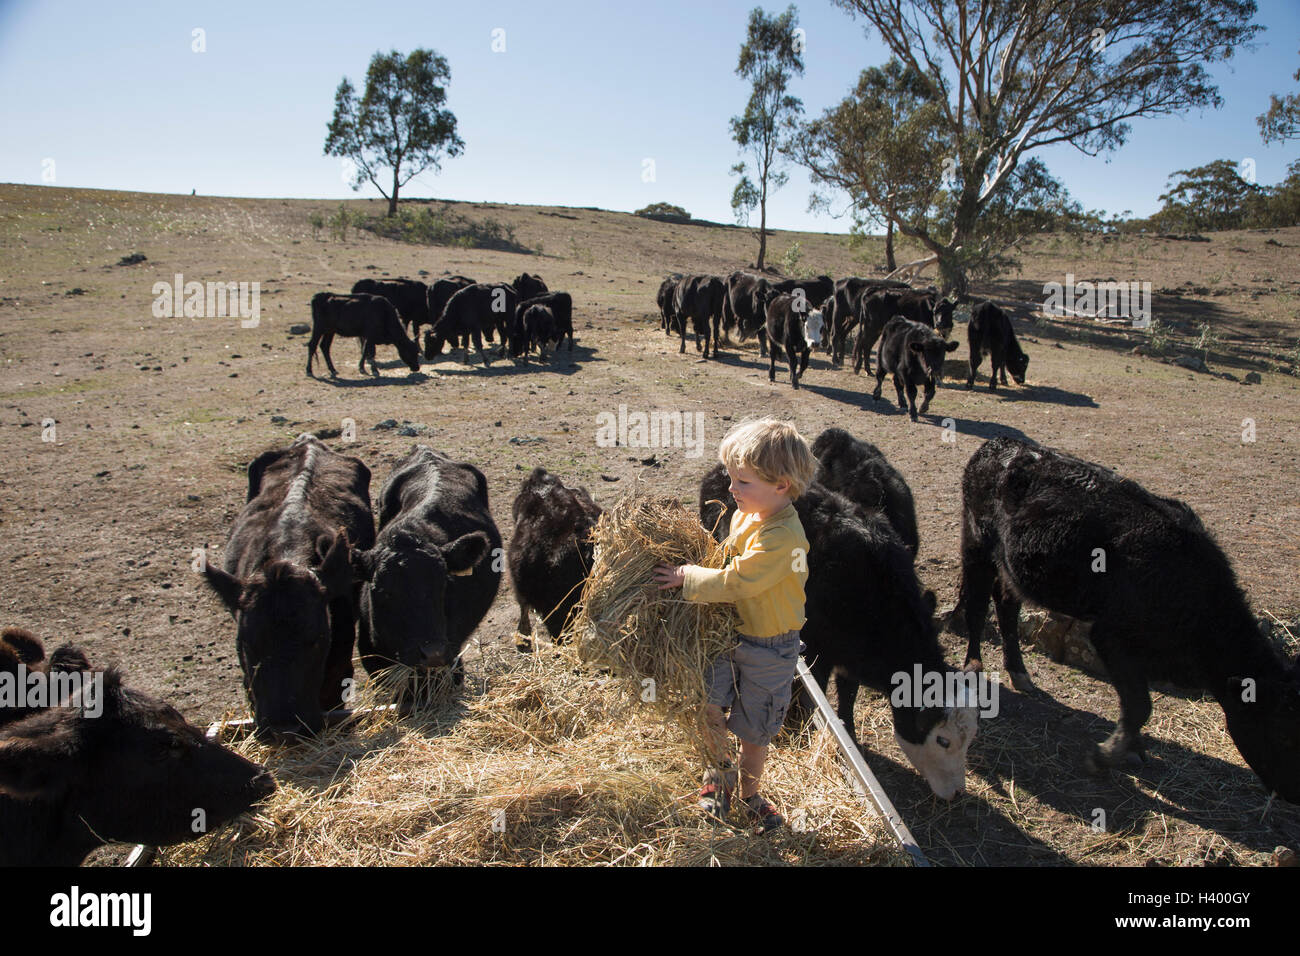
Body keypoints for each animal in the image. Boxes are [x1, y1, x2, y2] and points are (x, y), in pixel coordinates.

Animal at [700, 464, 977, 800]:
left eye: (971, 738)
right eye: (942, 740)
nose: (958, 792)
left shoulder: (848, 657)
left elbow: (848, 692)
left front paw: (850, 733)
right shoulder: (816, 649)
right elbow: (816, 698)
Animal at [953, 437, 1300, 802]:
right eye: (1283, 733)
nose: (1292, 793)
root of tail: (997, 444)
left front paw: (1131, 748)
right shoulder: (1111, 637)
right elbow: (1139, 706)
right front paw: (1104, 756)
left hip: (1012, 568)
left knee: (1006, 607)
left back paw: (1020, 673)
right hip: (976, 542)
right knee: (977, 605)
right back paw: (973, 666)